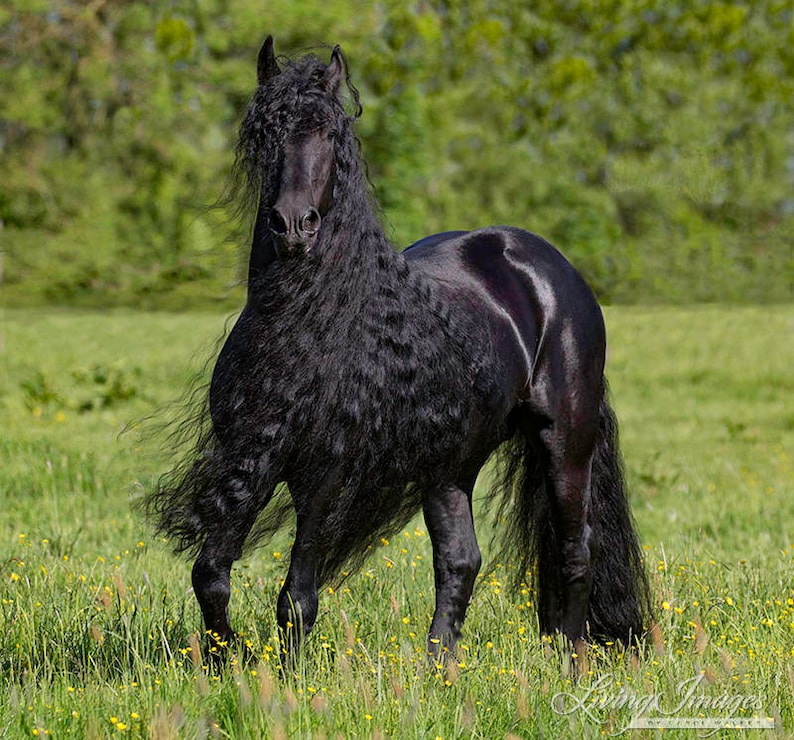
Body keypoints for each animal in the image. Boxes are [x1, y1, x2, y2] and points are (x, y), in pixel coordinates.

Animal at [145, 36, 650, 669]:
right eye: (263, 132)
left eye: (330, 132)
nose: (293, 225)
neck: (308, 322)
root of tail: (549, 267)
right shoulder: (251, 457)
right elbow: (210, 575)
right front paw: (228, 662)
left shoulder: (324, 473)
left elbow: (297, 597)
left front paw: (284, 679)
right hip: (452, 464)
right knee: (461, 560)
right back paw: (440, 667)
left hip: (565, 438)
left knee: (574, 549)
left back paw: (572, 664)